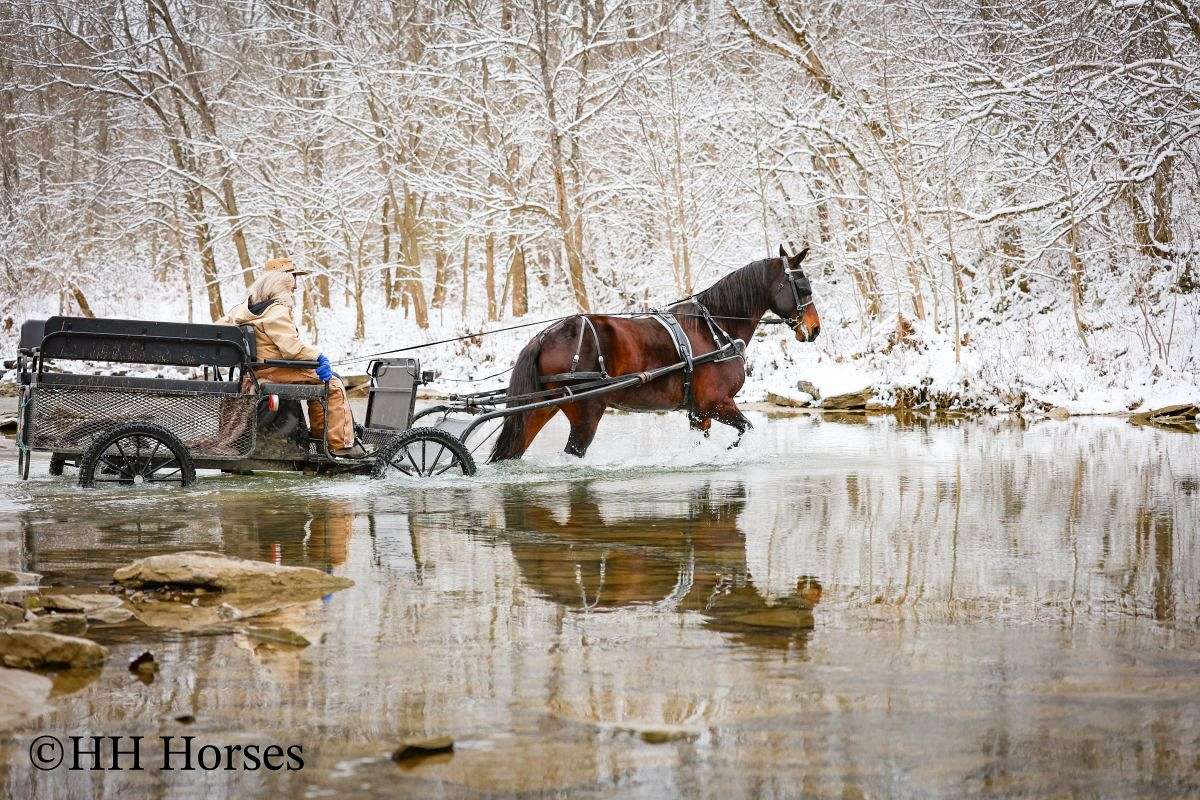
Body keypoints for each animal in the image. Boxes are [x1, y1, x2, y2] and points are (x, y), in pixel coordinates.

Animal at [489, 244, 821, 462]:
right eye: (804, 288)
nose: (815, 329)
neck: (713, 328)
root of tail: (546, 336)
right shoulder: (717, 403)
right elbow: (746, 430)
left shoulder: (699, 412)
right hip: (586, 414)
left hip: (538, 408)